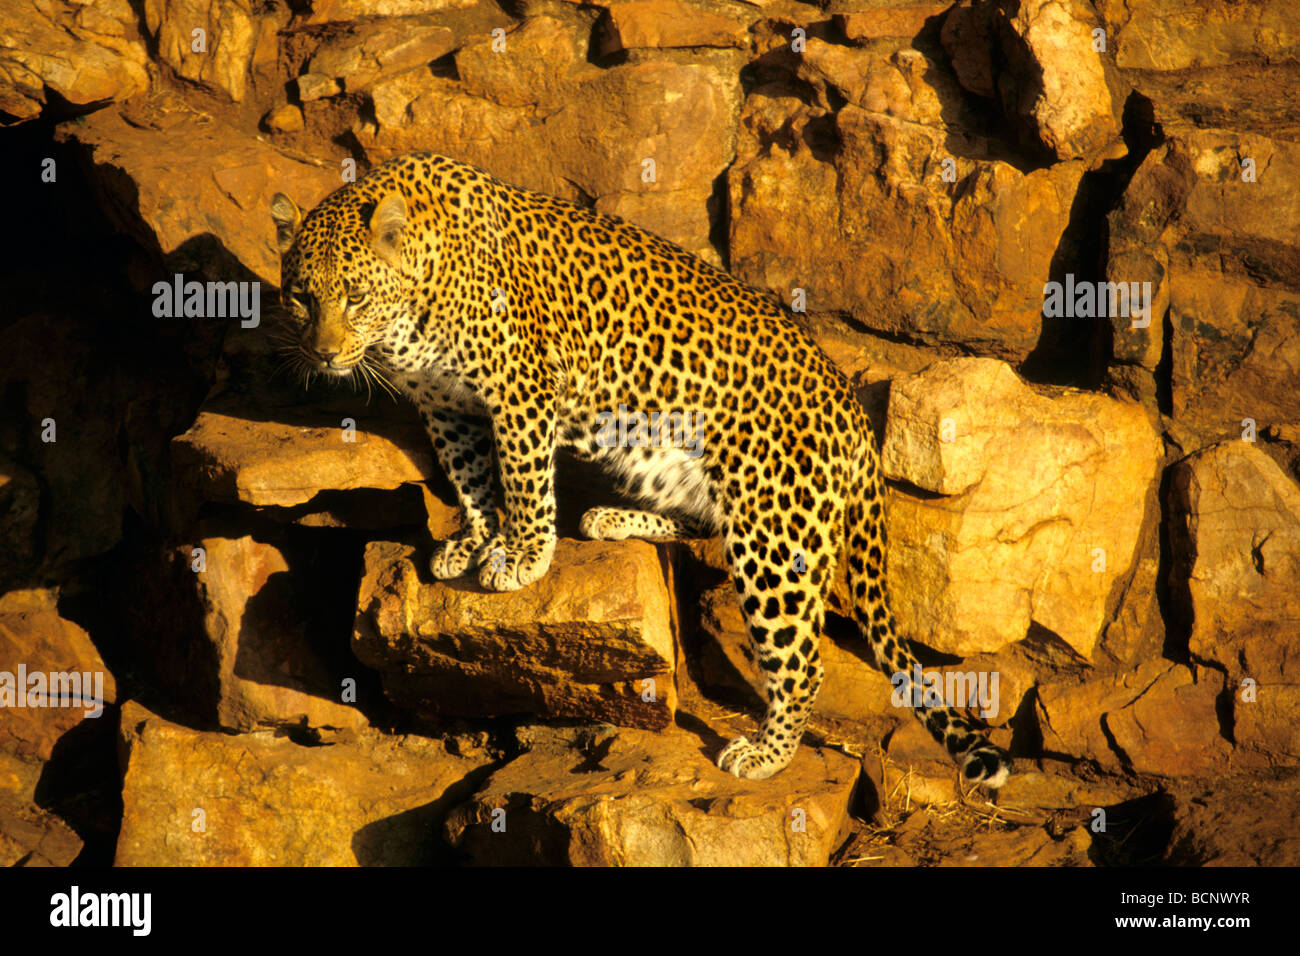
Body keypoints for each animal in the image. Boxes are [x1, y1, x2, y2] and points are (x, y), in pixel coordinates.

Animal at [270, 151, 1012, 786]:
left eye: (354, 297)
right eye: (302, 297)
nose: (324, 352)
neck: (416, 301)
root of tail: (855, 413)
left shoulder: (519, 389)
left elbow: (521, 478)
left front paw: (523, 555)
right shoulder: (445, 404)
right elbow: (471, 477)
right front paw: (476, 540)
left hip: (773, 532)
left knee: (802, 662)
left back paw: (765, 754)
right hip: (674, 469)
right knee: (700, 529)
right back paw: (609, 519)